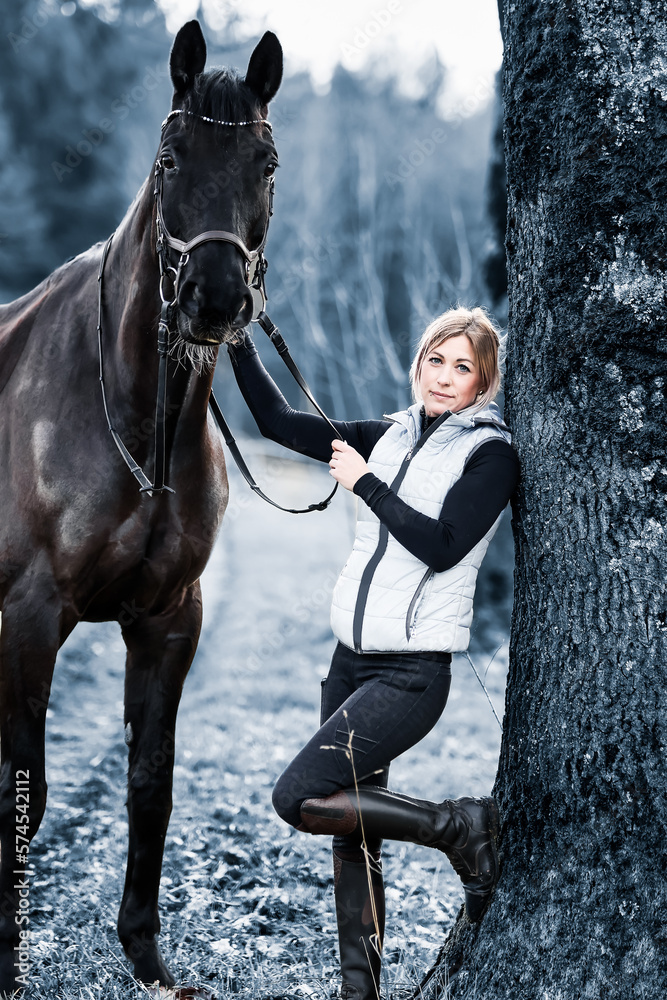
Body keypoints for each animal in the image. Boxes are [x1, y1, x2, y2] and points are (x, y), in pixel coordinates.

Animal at [0, 20, 282, 993]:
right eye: (168, 158)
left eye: (266, 162)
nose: (215, 298)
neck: (129, 413)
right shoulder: (31, 617)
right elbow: (27, 793)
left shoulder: (167, 619)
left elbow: (150, 784)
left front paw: (146, 953)